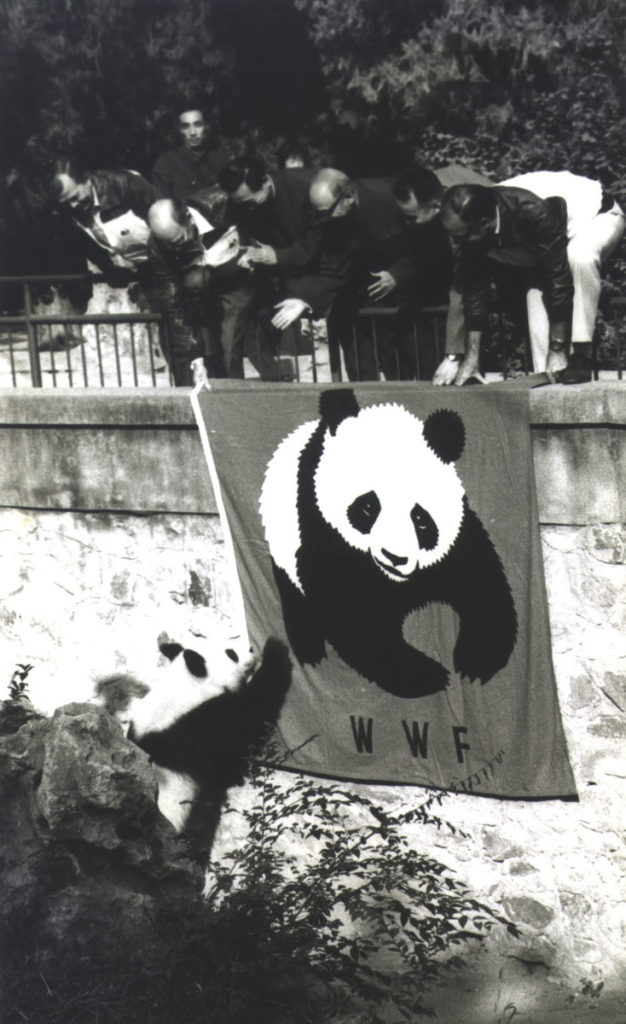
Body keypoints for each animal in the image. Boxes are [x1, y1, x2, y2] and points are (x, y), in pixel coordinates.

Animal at [96, 633, 291, 845]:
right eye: (231, 653)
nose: (250, 649)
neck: (184, 686)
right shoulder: (199, 727)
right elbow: (253, 713)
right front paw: (275, 648)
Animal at [259, 388, 517, 699]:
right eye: (368, 507)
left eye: (420, 519)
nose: (394, 558)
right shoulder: (322, 532)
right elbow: (353, 614)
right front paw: (426, 675)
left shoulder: (458, 539)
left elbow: (479, 581)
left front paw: (476, 661)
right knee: (298, 604)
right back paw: (311, 656)